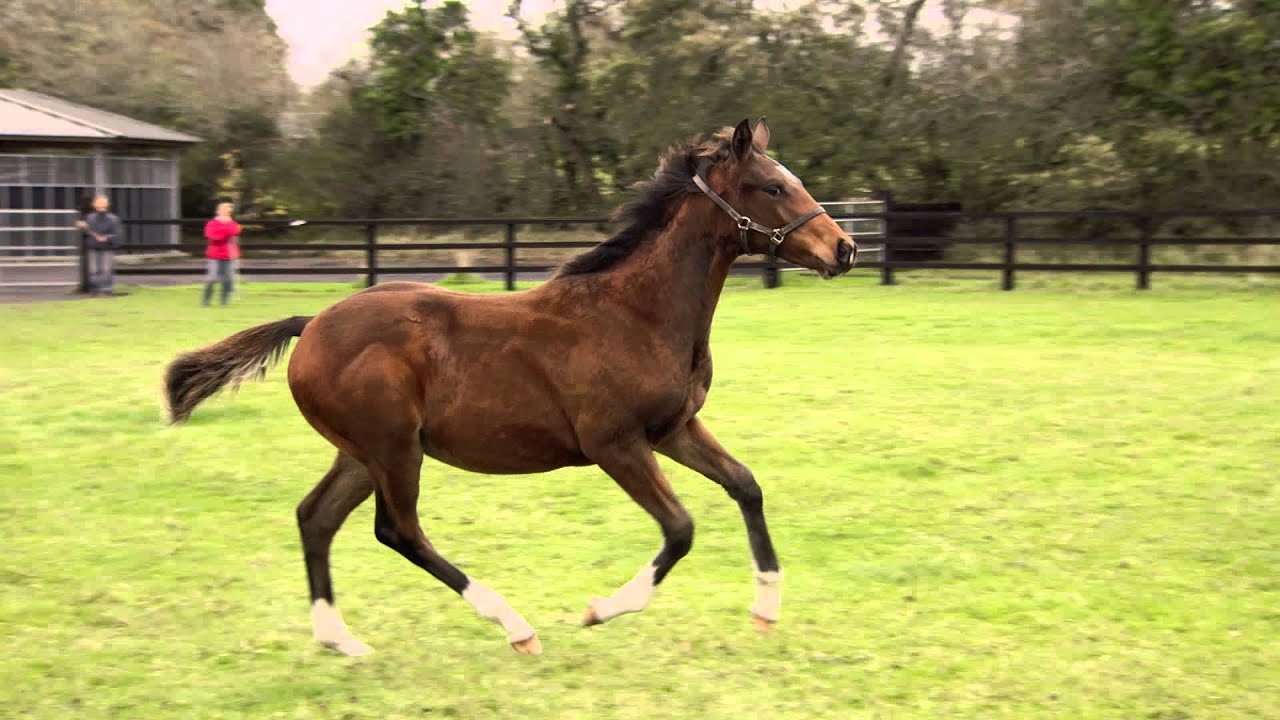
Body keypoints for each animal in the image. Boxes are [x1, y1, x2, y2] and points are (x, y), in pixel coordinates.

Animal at [164, 119, 856, 657]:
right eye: (773, 186)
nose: (845, 249)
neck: (638, 312)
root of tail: (311, 325)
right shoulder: (616, 444)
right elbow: (681, 528)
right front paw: (600, 610)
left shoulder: (674, 430)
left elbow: (745, 485)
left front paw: (766, 608)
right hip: (393, 449)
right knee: (399, 531)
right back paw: (515, 627)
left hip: (361, 453)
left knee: (316, 518)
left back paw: (341, 640)